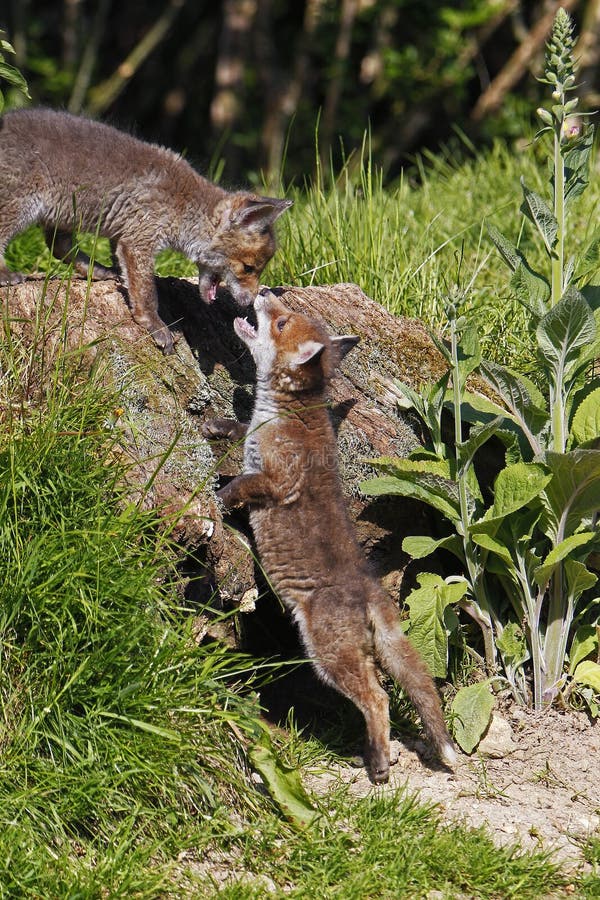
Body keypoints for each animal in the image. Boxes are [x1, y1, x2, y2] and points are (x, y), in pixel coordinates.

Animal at [0, 108, 291, 354]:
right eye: (248, 268)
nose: (251, 301)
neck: (185, 208)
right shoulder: (138, 241)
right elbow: (147, 294)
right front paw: (154, 325)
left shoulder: (123, 235)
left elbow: (124, 270)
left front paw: (117, 276)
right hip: (21, 207)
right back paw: (7, 274)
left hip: (65, 214)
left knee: (57, 247)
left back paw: (97, 271)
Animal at [203, 289, 457, 783]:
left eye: (281, 322)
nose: (266, 292)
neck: (286, 413)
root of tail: (370, 590)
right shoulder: (253, 445)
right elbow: (237, 434)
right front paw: (217, 426)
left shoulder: (273, 481)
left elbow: (237, 487)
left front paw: (215, 500)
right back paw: (379, 754)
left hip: (328, 654)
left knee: (377, 698)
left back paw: (379, 764)